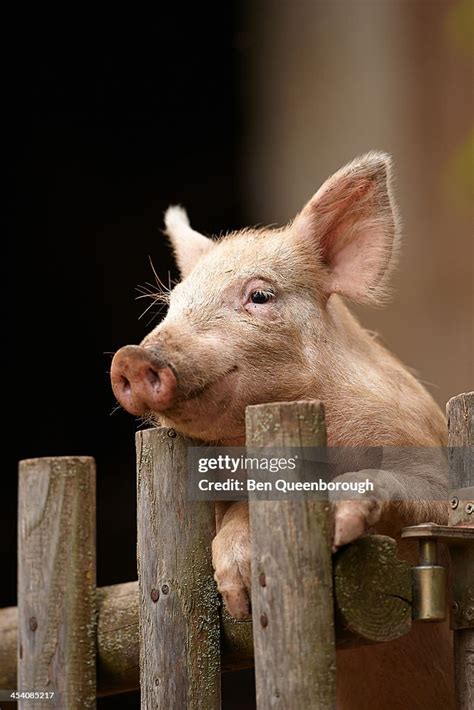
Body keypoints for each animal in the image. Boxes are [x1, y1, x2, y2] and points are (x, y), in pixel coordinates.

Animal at [111, 152, 454, 709]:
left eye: (260, 294)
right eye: (172, 303)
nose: (132, 357)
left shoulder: (427, 454)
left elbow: (415, 491)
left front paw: (333, 520)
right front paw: (239, 594)